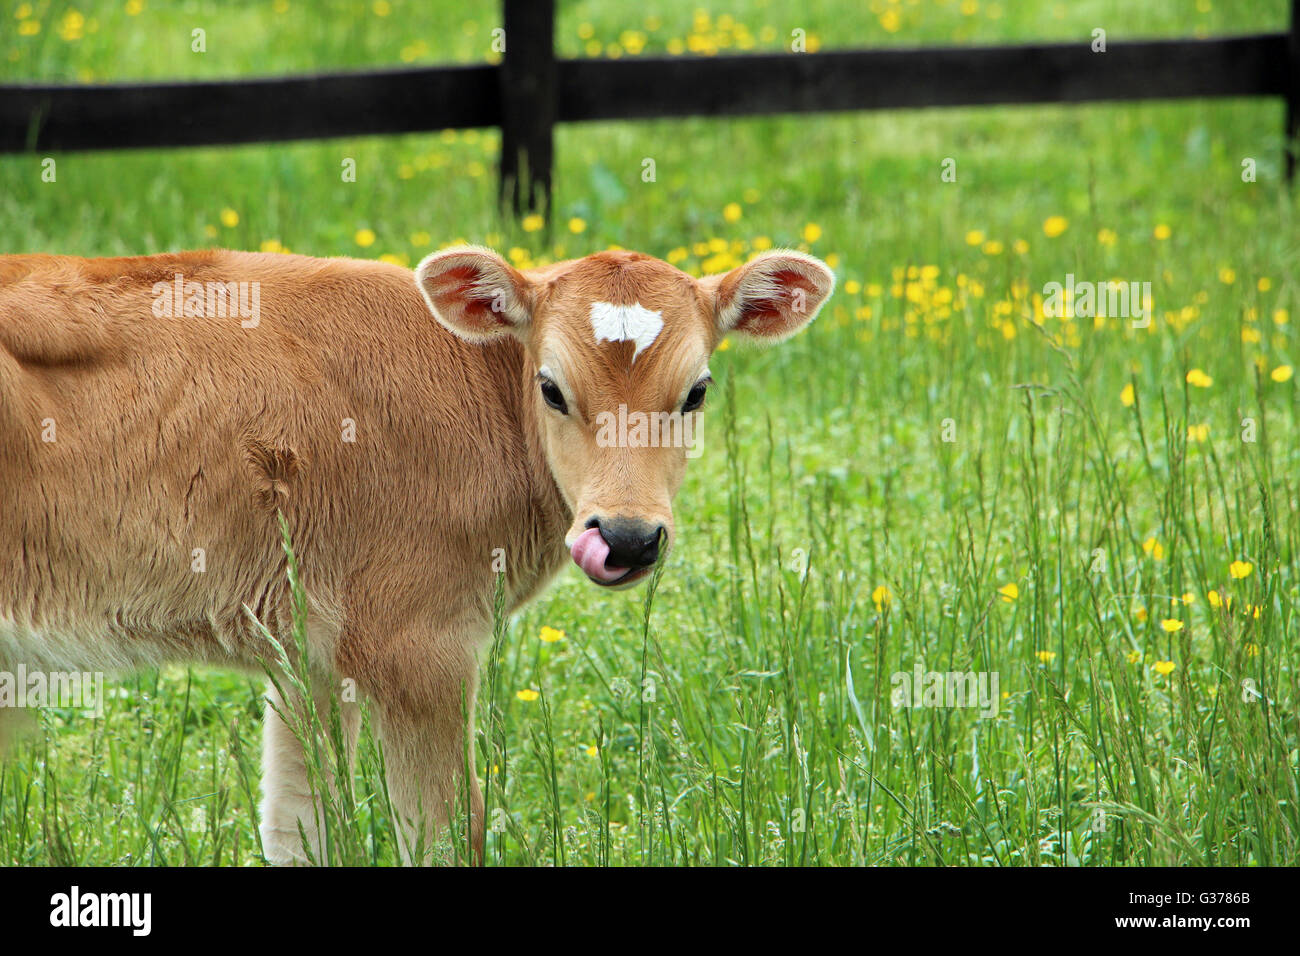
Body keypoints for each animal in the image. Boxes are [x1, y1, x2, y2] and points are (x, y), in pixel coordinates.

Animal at [0, 244, 833, 863]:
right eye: (551, 388)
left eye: (696, 391)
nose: (625, 536)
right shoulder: (418, 643)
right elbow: (444, 831)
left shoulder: (307, 654)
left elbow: (301, 830)